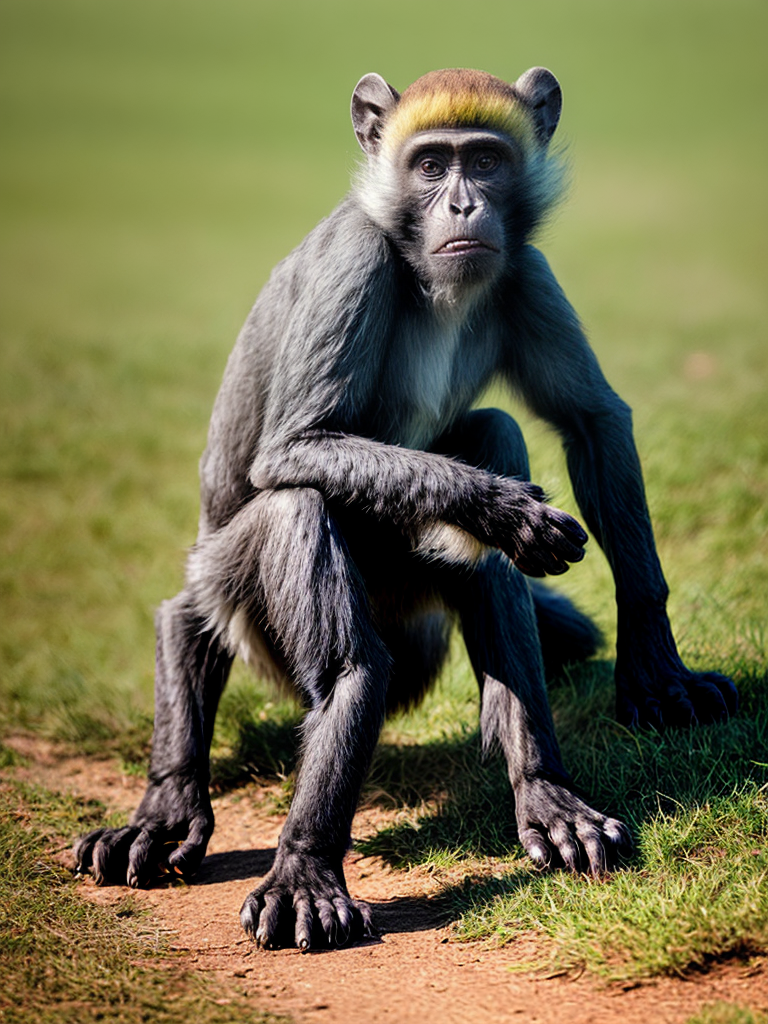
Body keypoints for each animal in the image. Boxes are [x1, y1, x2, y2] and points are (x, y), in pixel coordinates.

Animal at [74, 67, 738, 951]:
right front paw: (506, 511)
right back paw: (293, 842)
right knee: (289, 532)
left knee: (493, 441)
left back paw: (544, 792)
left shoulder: (521, 264)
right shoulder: (355, 261)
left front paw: (656, 666)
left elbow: (593, 421)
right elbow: (293, 451)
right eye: (430, 166)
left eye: (484, 160)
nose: (463, 205)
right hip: (241, 594)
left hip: (411, 587)